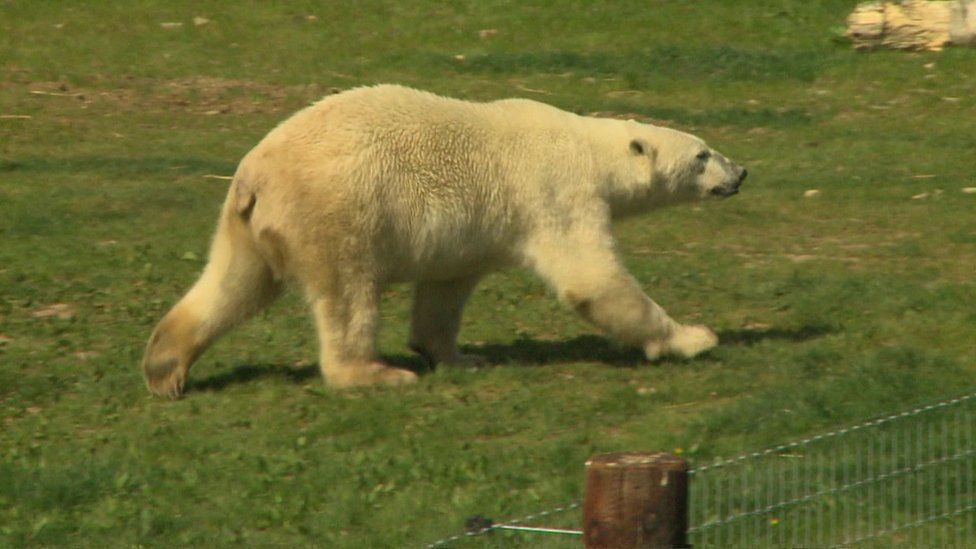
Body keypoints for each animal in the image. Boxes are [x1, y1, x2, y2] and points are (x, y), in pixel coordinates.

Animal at [142, 84, 746, 398]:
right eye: (701, 154)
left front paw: (460, 357)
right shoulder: (555, 192)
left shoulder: (473, 231)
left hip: (248, 224)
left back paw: (165, 365)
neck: (587, 148)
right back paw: (375, 373)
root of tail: (256, 174)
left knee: (233, 283)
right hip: (340, 212)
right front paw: (694, 337)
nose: (740, 172)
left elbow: (445, 291)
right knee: (347, 296)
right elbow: (592, 281)